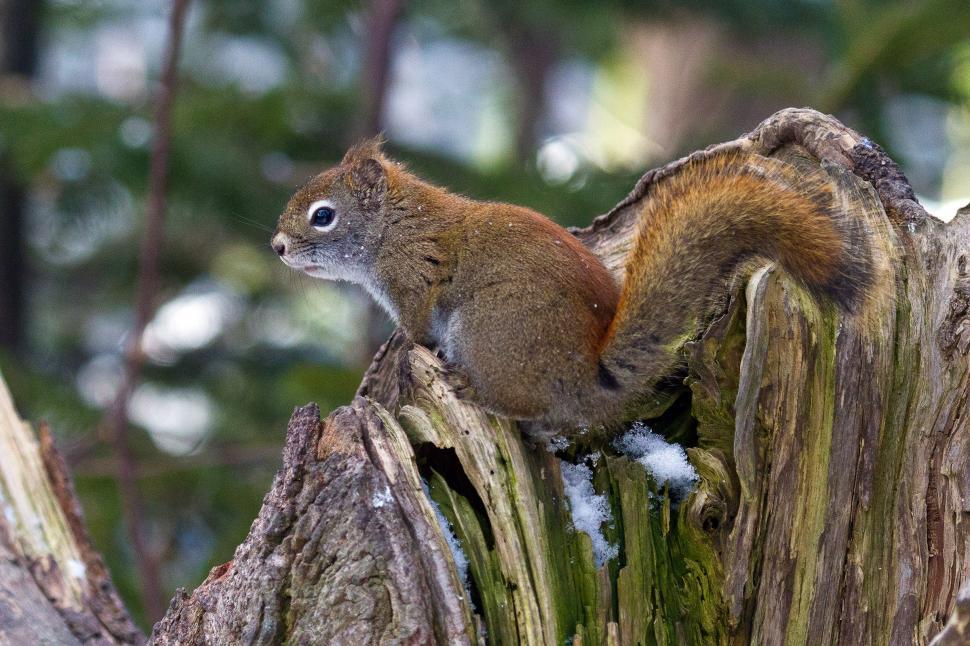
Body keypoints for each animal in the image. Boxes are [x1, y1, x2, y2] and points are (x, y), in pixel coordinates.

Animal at [272, 138, 872, 428]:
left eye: (323, 216)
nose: (277, 248)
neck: (396, 225)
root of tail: (588, 376)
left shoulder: (416, 281)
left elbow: (416, 329)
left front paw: (403, 354)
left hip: (491, 328)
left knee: (534, 408)